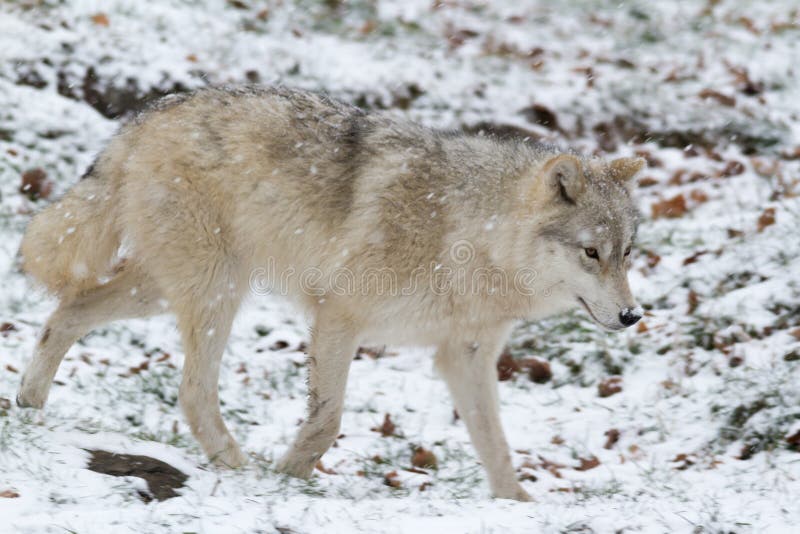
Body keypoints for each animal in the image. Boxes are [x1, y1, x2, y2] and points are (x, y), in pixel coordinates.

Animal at [16, 86, 643, 501]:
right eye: (592, 253)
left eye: (627, 252)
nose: (633, 315)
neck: (463, 233)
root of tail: (145, 115)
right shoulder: (338, 318)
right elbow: (327, 421)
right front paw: (286, 481)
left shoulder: (463, 356)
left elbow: (497, 446)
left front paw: (516, 506)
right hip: (216, 292)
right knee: (192, 391)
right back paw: (239, 471)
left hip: (167, 290)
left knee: (69, 311)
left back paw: (28, 407)